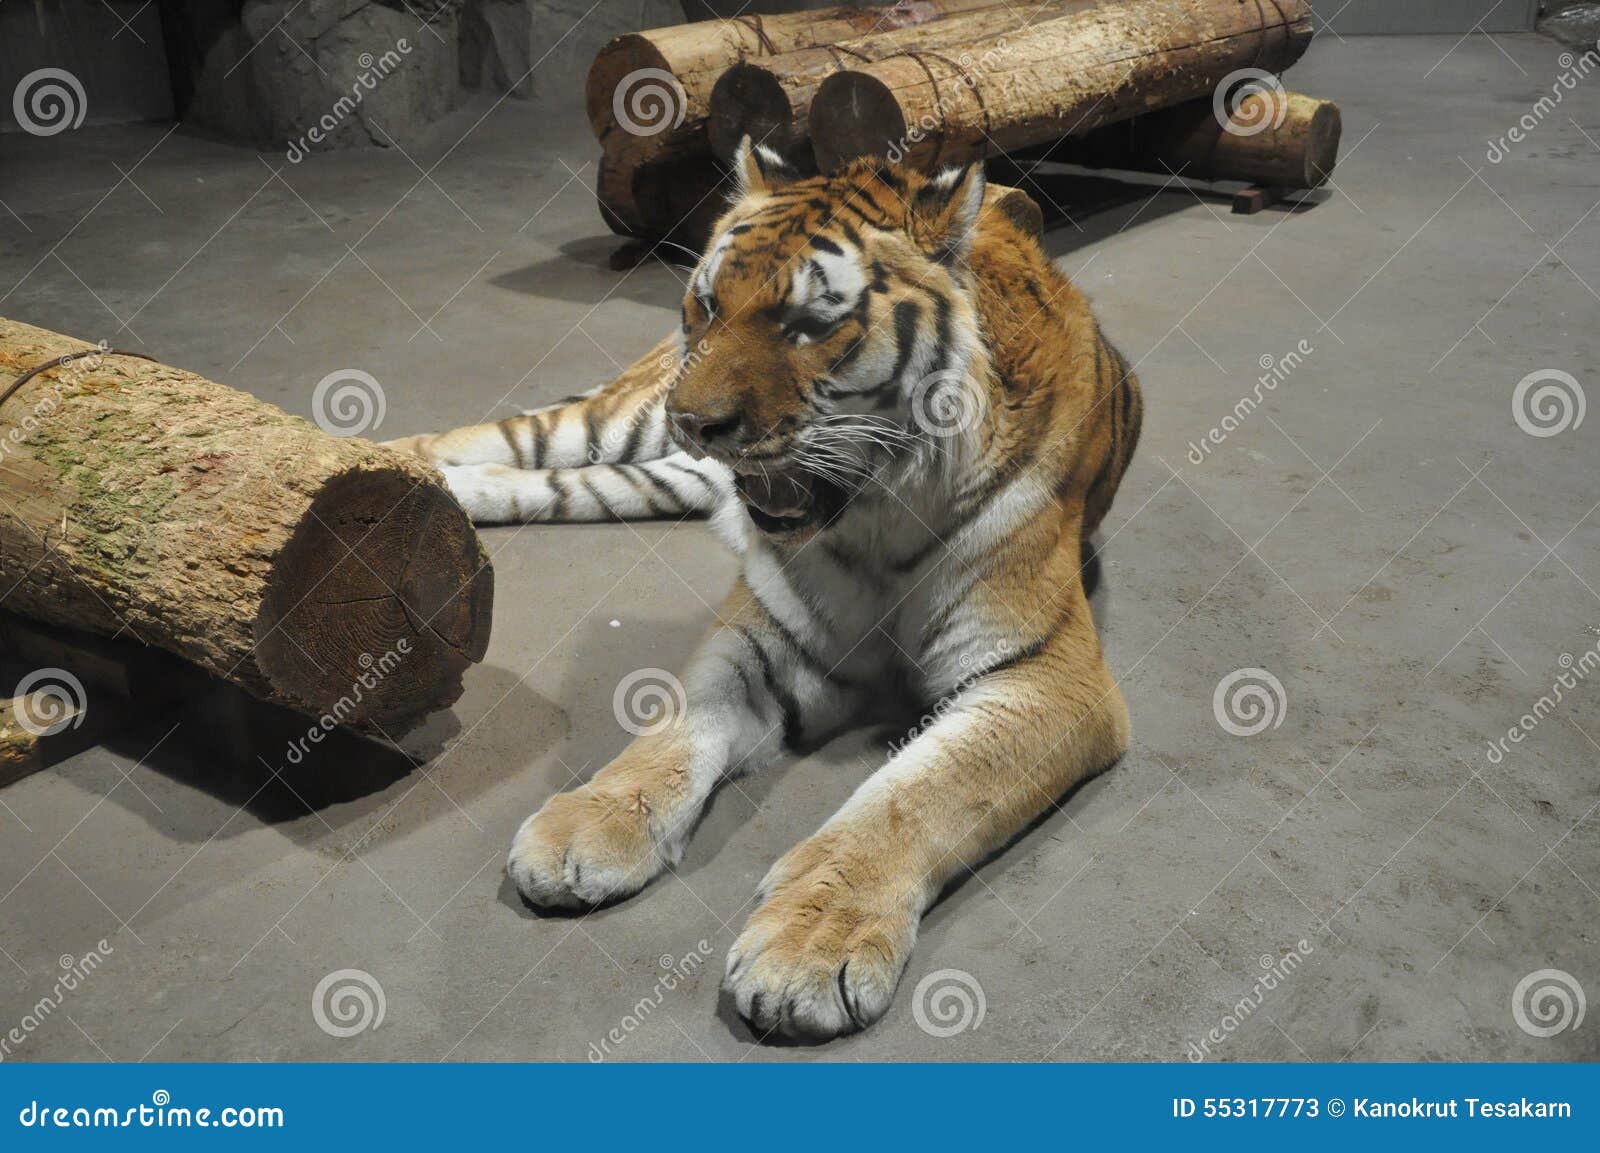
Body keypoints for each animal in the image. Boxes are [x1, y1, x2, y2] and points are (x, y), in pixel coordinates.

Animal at [385, 140, 1143, 1041]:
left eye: (809, 325)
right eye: (710, 304)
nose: (696, 420)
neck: (874, 515)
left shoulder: (1044, 675)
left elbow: (917, 793)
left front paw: (812, 943)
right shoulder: (764, 632)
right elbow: (676, 723)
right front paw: (588, 823)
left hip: (648, 473)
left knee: (528, 476)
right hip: (623, 423)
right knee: (495, 434)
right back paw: (371, 475)